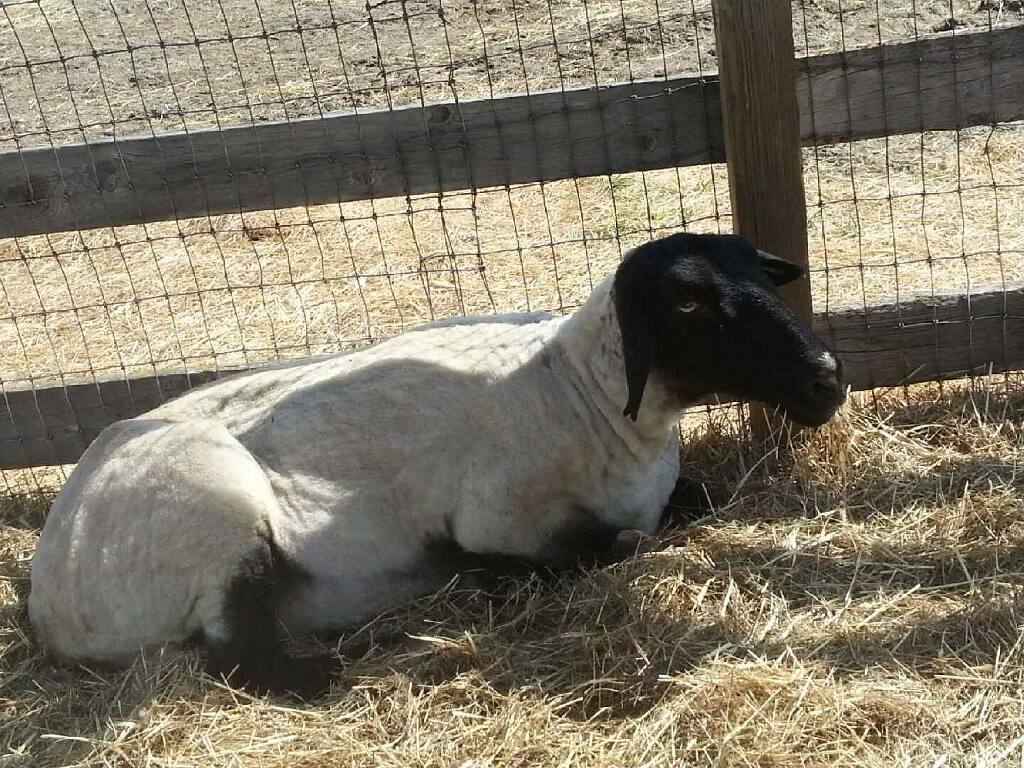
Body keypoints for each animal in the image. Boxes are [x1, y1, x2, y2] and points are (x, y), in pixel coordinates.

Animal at [29, 232, 846, 696]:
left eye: (761, 277)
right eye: (687, 303)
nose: (826, 378)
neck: (578, 390)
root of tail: (47, 596)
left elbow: (693, 501)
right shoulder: (498, 522)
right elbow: (615, 544)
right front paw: (488, 577)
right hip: (213, 505)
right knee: (234, 649)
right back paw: (329, 670)